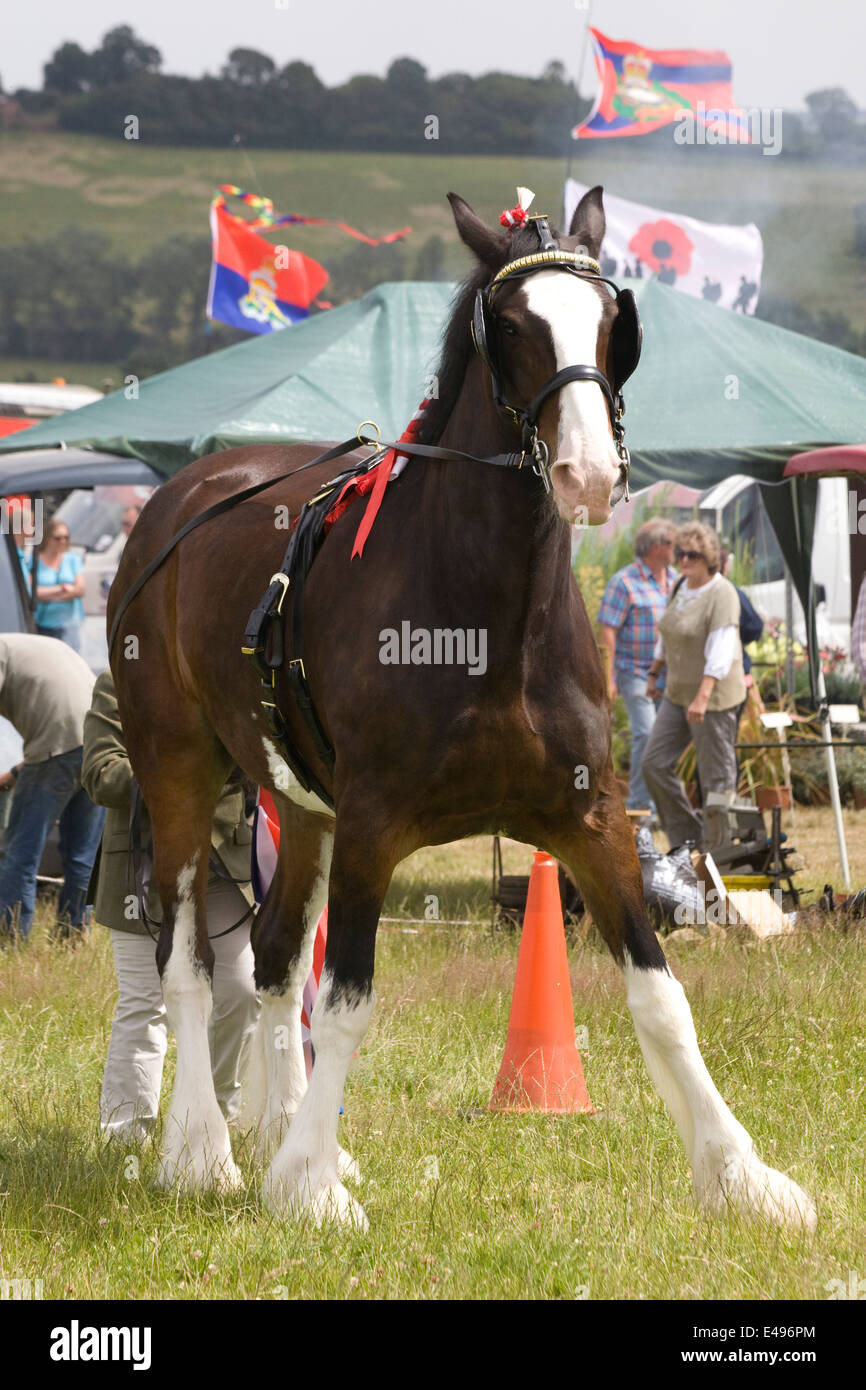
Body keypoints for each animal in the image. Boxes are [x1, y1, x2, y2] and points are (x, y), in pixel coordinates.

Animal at [108, 185, 816, 1232]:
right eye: (513, 325)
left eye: (611, 321)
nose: (589, 474)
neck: (493, 622)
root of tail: (183, 494)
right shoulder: (372, 824)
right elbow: (348, 1000)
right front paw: (310, 1187)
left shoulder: (590, 816)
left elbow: (661, 997)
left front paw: (740, 1174)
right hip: (177, 767)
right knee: (188, 959)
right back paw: (201, 1149)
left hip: (301, 807)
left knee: (274, 959)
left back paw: (278, 1134)